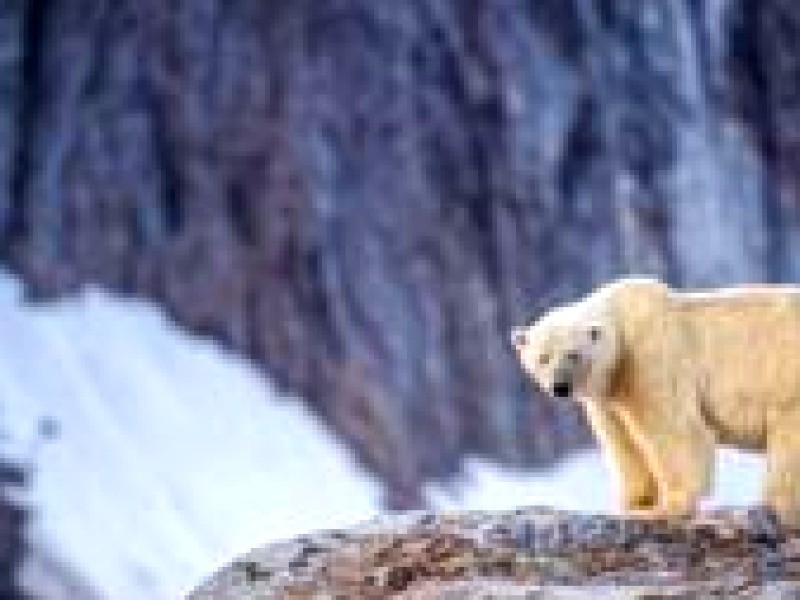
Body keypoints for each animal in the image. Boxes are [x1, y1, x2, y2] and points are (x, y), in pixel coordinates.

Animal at [511, 277, 800, 525]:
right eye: (543, 357)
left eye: (573, 354)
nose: (560, 387)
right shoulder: (609, 395)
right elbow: (622, 440)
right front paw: (636, 501)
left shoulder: (651, 356)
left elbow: (676, 430)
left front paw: (667, 506)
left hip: (786, 381)